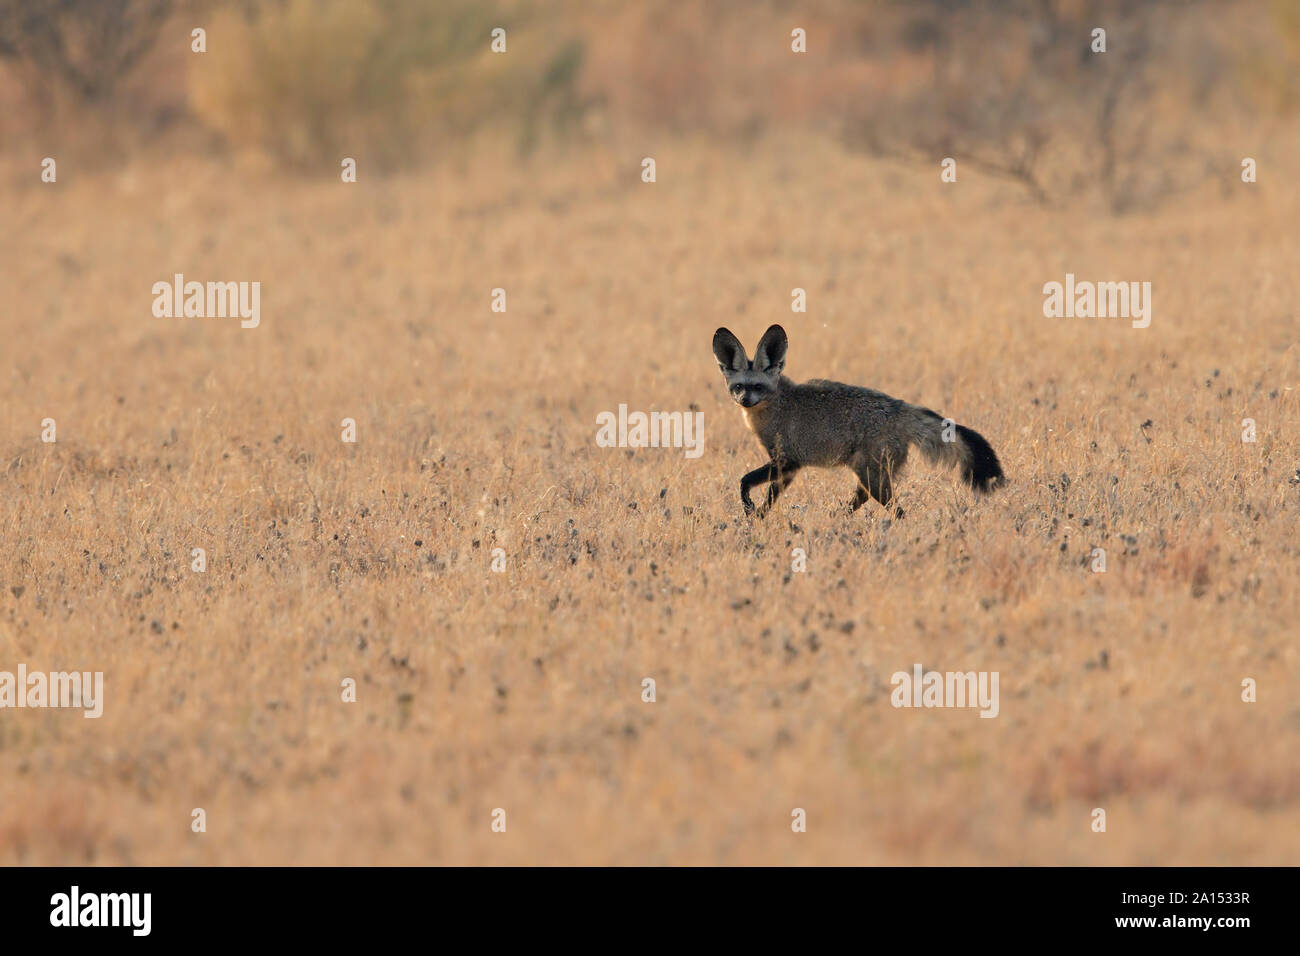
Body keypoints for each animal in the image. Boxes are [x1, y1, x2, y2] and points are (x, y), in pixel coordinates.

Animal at [712, 324, 1004, 518]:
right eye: (738, 387)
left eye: (757, 387)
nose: (744, 400)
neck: (776, 405)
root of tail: (901, 408)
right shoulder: (788, 468)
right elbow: (769, 497)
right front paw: (758, 516)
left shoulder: (787, 461)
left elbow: (744, 481)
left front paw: (750, 510)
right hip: (868, 474)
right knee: (863, 498)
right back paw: (839, 517)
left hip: (872, 477)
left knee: (897, 510)